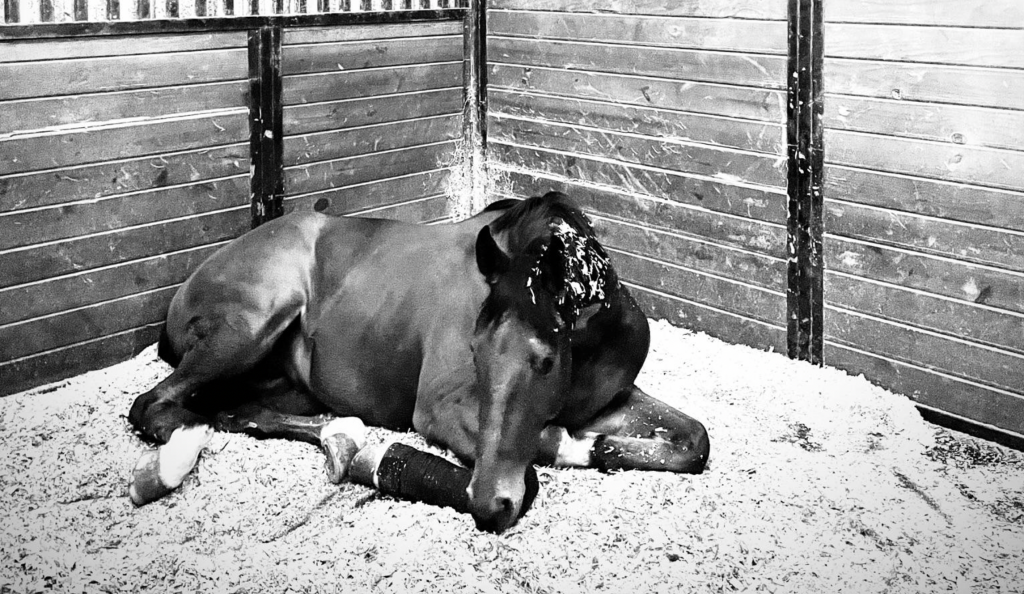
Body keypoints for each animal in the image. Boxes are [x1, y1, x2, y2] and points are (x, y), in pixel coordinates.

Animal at [126, 191, 709, 533]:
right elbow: (536, 458)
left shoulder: (612, 400)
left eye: (545, 362)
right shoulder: (438, 411)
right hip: (245, 331)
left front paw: (606, 448)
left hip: (285, 385)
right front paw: (572, 448)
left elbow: (695, 440)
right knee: (153, 405)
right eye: (475, 351)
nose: (489, 507)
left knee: (240, 411)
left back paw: (339, 438)